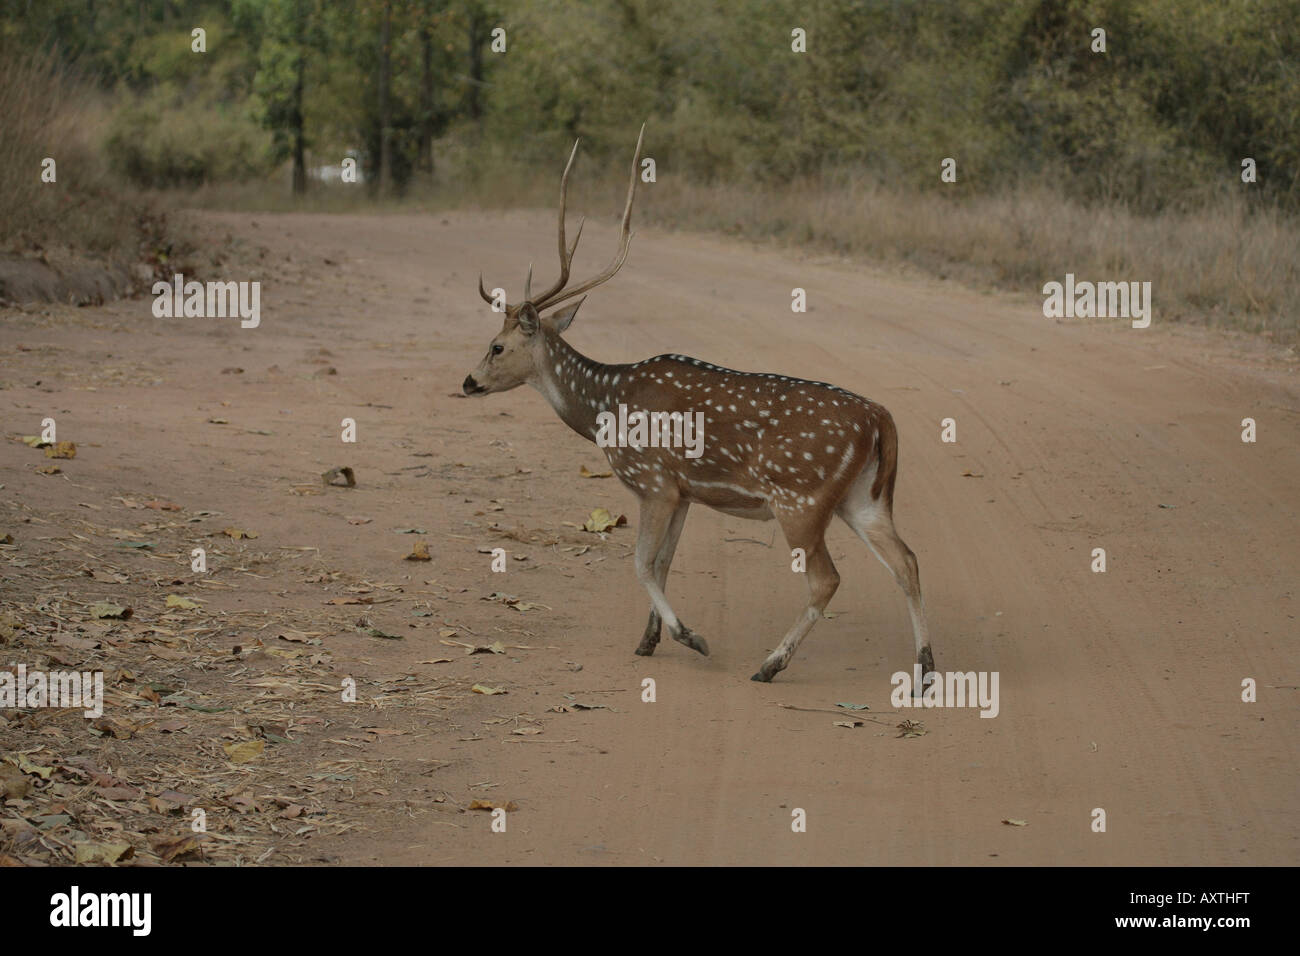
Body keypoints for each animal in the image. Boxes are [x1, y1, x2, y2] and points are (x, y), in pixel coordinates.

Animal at [462, 126, 935, 684]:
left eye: (496, 346)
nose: (468, 382)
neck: (606, 407)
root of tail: (879, 418)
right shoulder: (685, 491)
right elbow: (664, 563)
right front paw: (648, 640)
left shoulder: (653, 481)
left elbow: (642, 564)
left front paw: (690, 636)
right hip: (862, 497)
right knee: (907, 560)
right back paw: (925, 668)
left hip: (800, 498)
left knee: (828, 579)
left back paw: (770, 664)